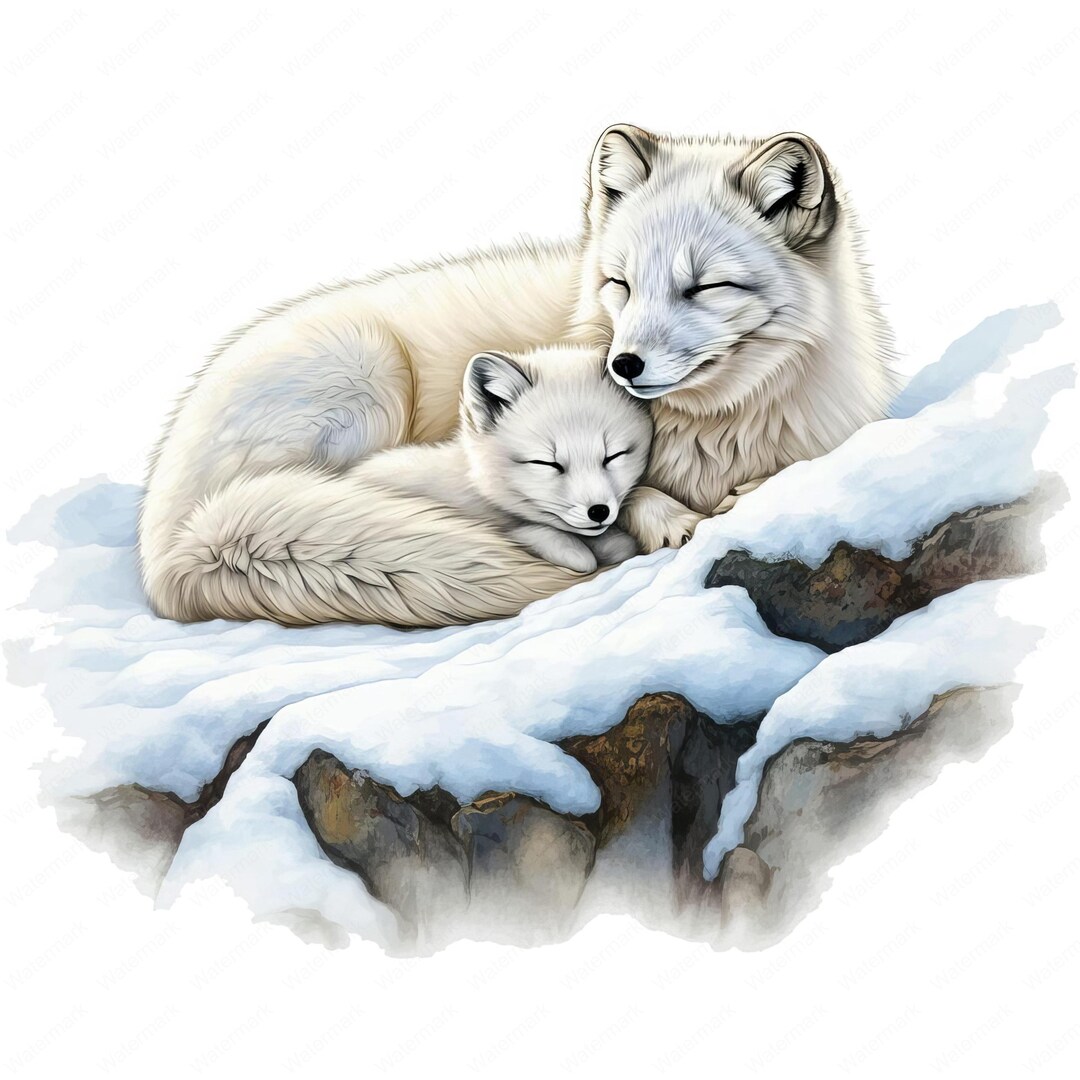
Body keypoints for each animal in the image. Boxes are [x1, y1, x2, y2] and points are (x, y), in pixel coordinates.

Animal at [143, 347, 651, 627]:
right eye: (548, 463)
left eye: (613, 456)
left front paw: (609, 540)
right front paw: (575, 549)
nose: (599, 511)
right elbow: (544, 537)